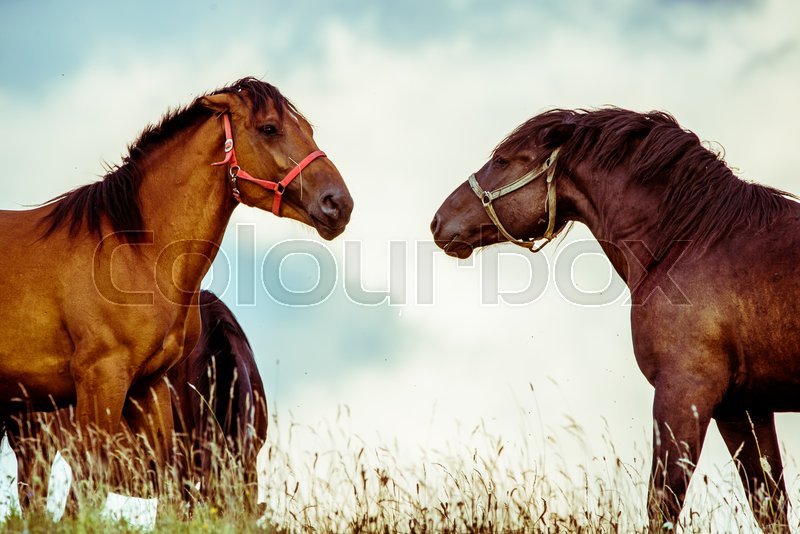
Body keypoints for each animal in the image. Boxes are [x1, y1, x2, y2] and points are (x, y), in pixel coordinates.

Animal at [0, 76, 352, 475]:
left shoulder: (148, 387)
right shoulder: (100, 383)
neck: (133, 251)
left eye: (308, 129)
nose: (339, 203)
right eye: (269, 128)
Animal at [430, 107, 799, 527]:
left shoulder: (684, 394)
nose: (438, 221)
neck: (693, 241)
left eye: (503, 161)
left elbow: (663, 503)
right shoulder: (744, 408)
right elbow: (769, 506)